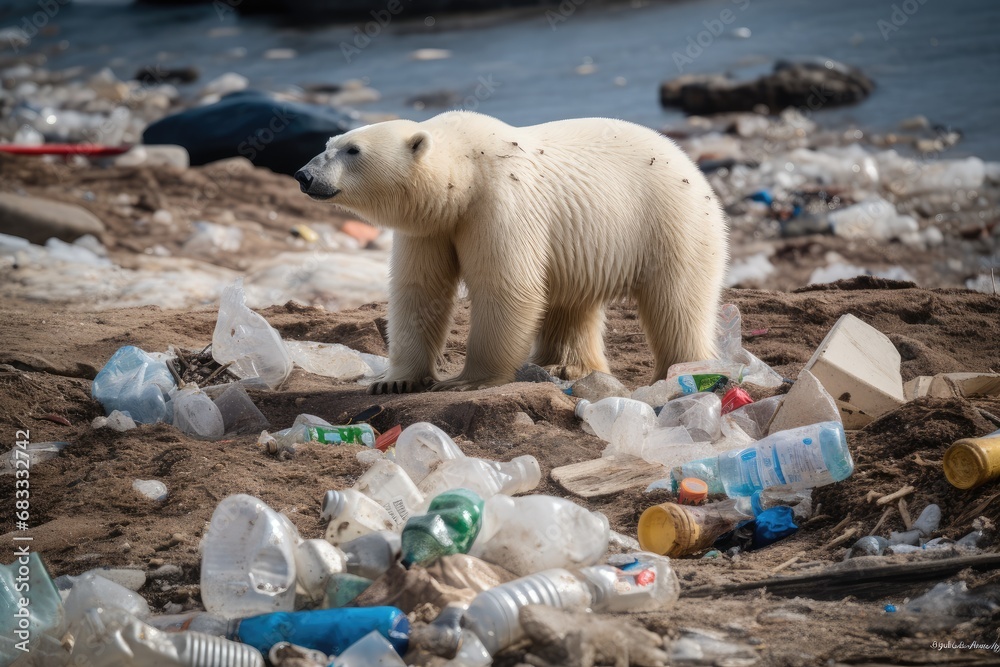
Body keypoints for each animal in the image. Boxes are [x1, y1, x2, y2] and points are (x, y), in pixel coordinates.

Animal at [295, 111, 728, 394]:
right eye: (328, 143)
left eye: (352, 150)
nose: (304, 175)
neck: (465, 171)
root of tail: (688, 162)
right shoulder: (431, 227)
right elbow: (420, 290)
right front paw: (395, 381)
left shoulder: (499, 201)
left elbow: (506, 287)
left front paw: (466, 381)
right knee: (573, 304)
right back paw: (564, 365)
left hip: (671, 219)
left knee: (677, 300)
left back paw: (682, 370)